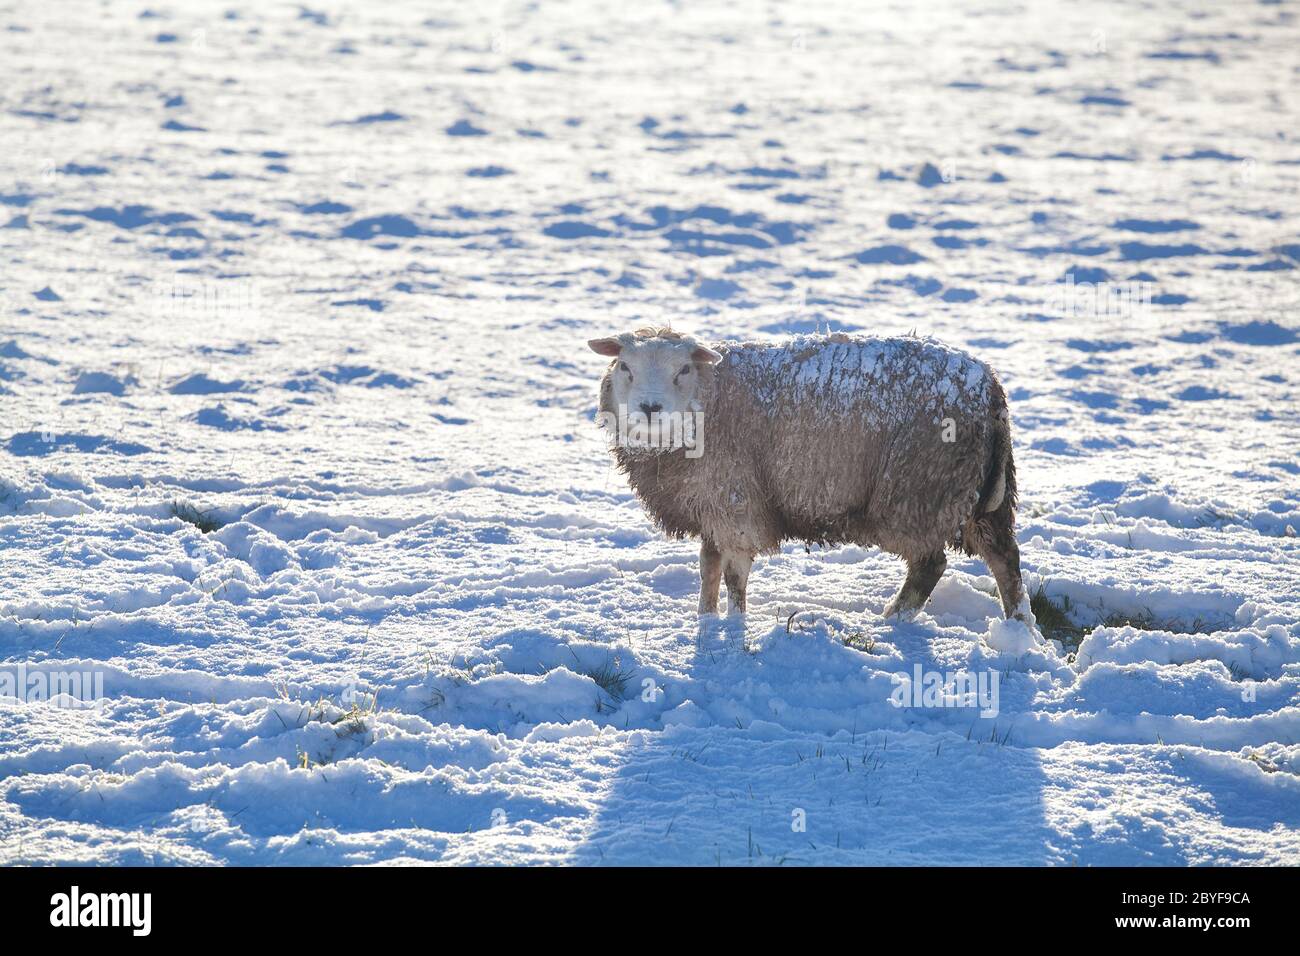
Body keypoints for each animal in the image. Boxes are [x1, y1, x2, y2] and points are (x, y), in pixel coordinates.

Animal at [587, 327, 1032, 625]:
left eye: (682, 369)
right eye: (624, 366)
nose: (650, 408)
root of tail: (990, 387)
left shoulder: (735, 499)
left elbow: (733, 575)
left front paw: (733, 627)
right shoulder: (711, 502)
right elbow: (708, 568)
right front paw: (706, 620)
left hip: (919, 488)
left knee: (930, 564)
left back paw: (893, 620)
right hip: (978, 494)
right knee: (1004, 558)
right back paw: (1019, 626)